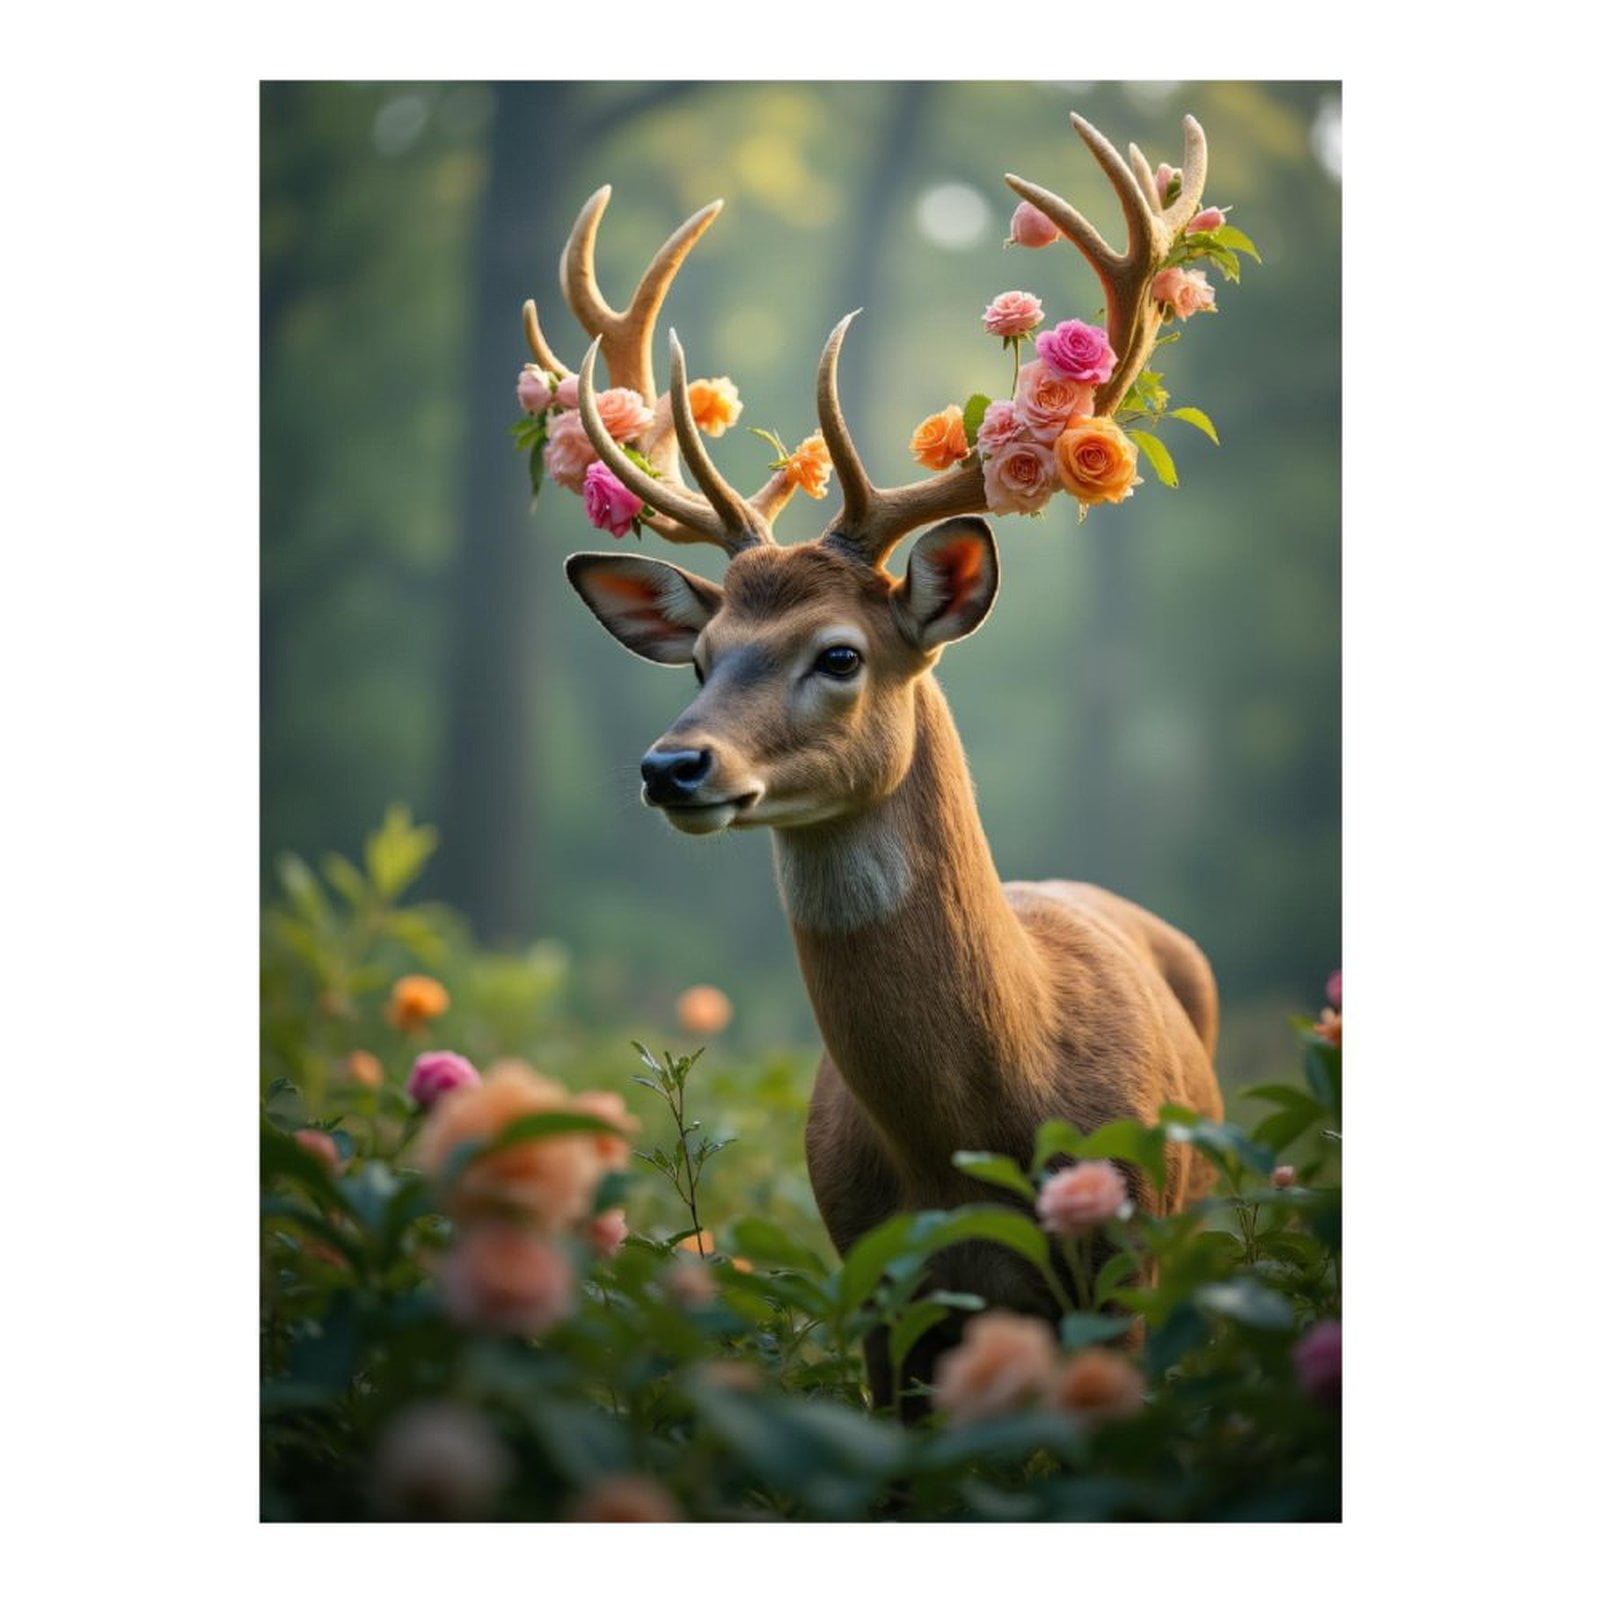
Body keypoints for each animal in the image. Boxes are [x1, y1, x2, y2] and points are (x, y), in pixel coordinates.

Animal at [523, 112, 1226, 1410]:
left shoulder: (1129, 1272)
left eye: (839, 653)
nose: (670, 767)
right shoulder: (876, 1294)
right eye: (700, 658)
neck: (980, 1135)